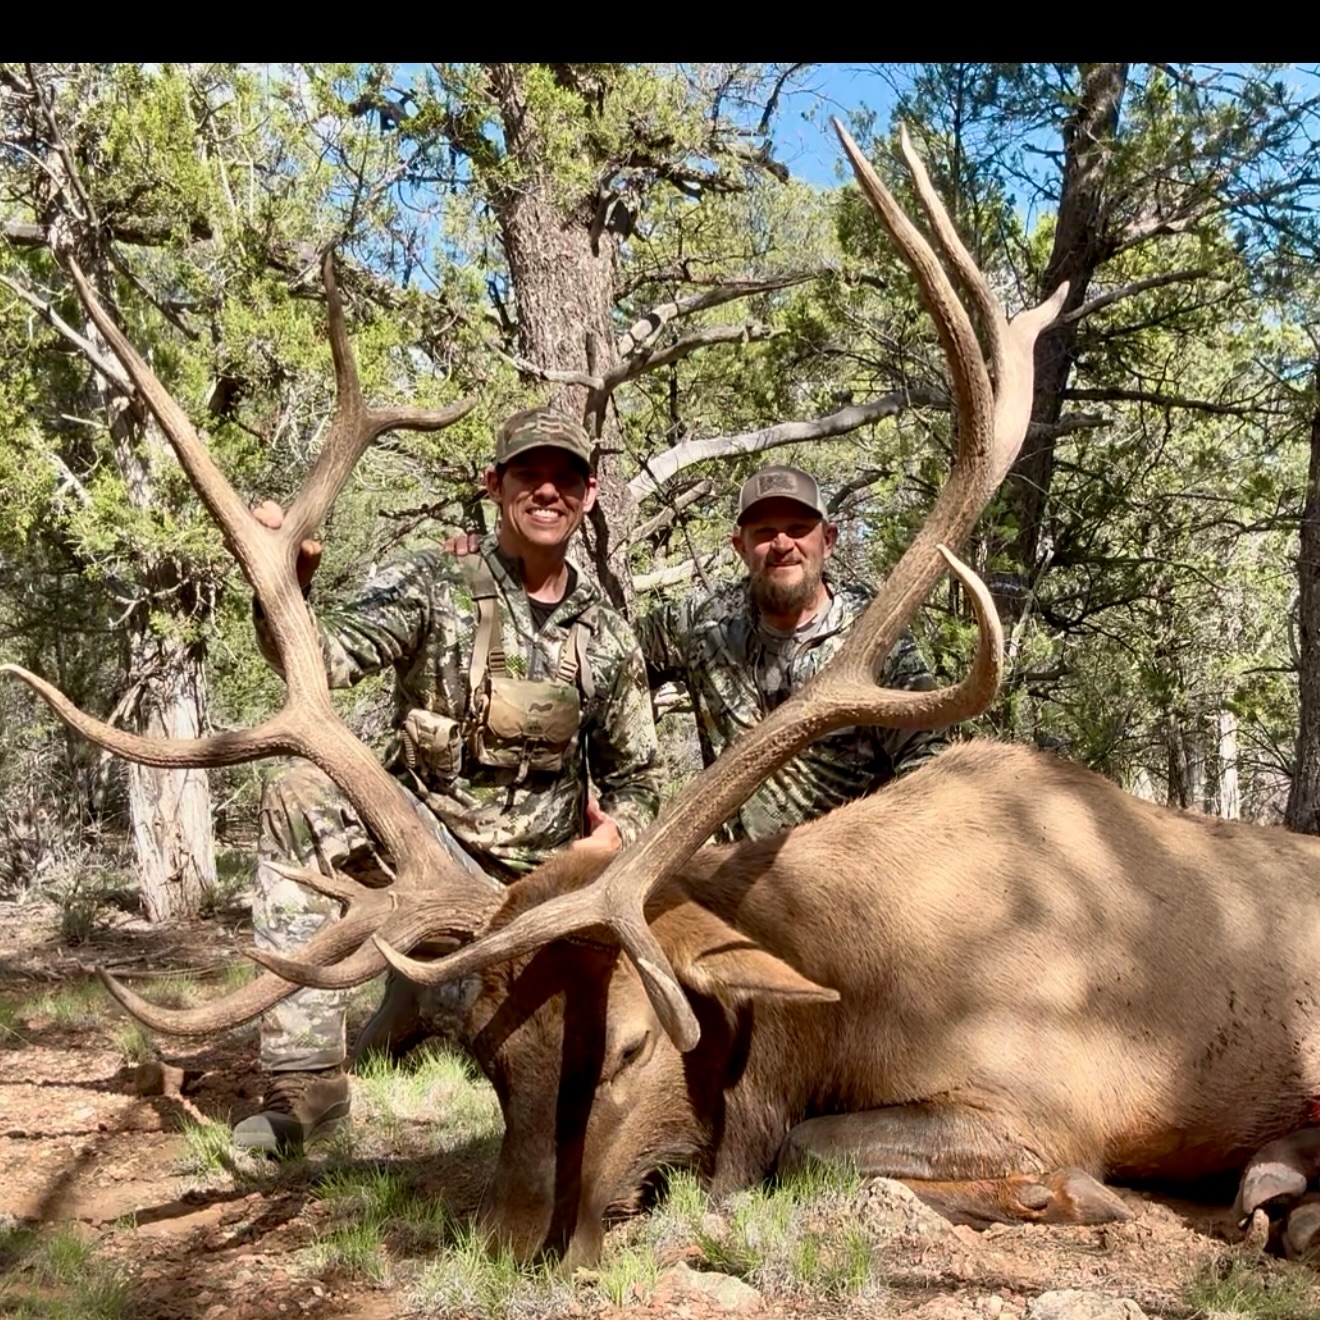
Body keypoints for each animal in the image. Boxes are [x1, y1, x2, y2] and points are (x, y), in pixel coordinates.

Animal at [10, 120, 1320, 1269]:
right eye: (488, 1057)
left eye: (638, 1045)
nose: (523, 1247)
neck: (846, 989)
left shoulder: (1044, 1102)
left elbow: (811, 1151)